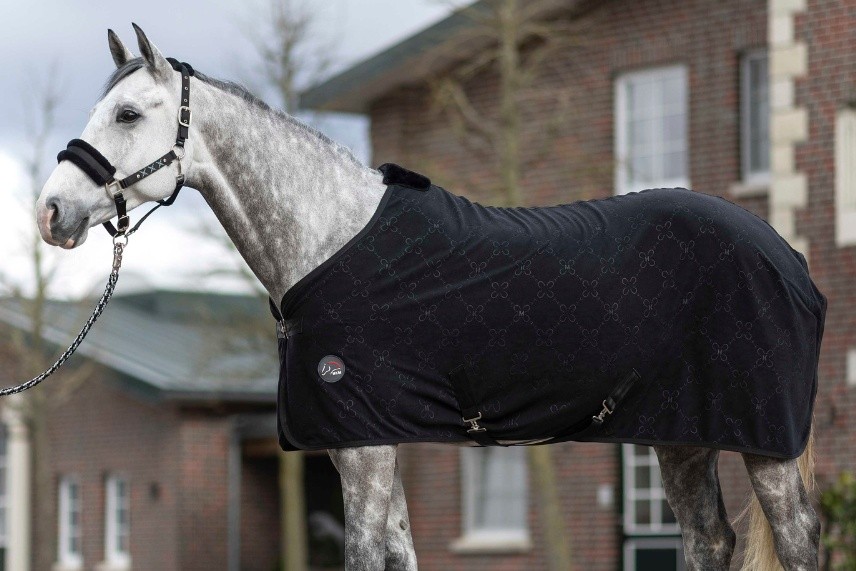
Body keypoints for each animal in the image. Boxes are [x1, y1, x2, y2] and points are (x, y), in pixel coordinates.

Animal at [35, 26, 823, 570]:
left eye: (129, 114)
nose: (50, 212)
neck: (333, 237)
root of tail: (787, 257)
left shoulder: (364, 447)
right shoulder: (373, 444)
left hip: (766, 443)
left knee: (797, 539)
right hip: (681, 435)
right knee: (709, 539)